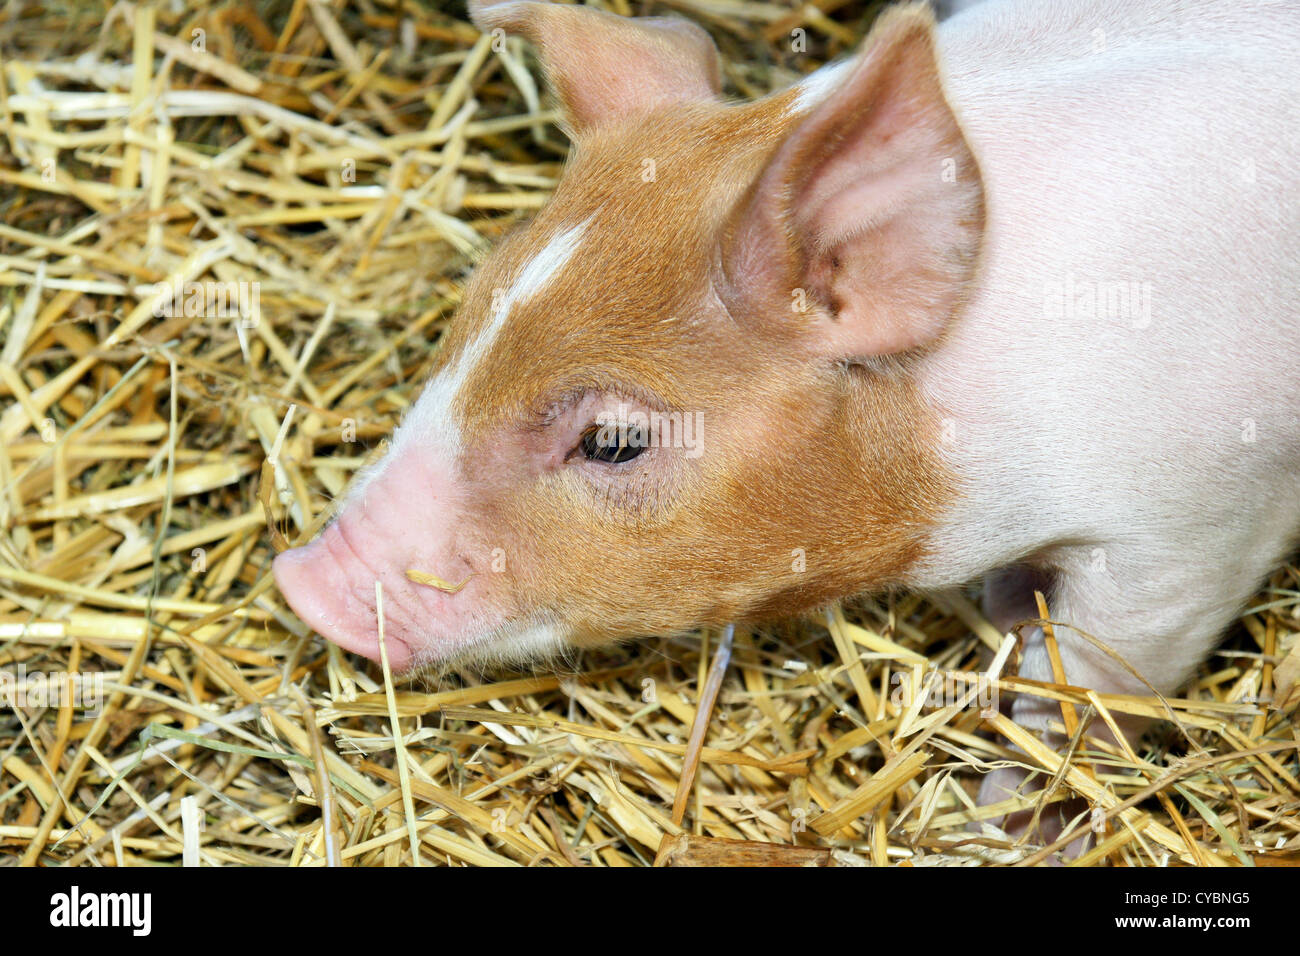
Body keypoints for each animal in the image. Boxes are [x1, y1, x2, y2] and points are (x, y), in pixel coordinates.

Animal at [273, 0, 1300, 821]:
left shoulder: (1195, 529)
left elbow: (1085, 690)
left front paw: (1003, 821)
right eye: (469, 309)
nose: (304, 581)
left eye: (614, 441)